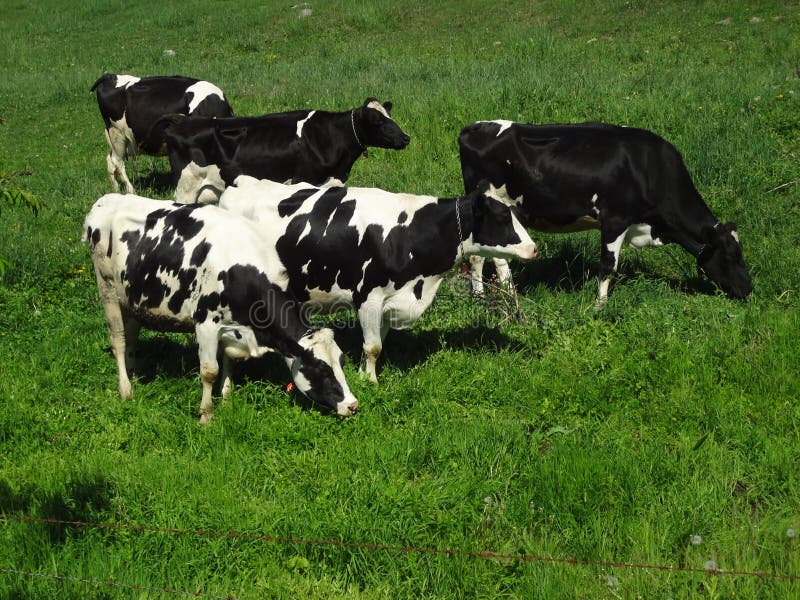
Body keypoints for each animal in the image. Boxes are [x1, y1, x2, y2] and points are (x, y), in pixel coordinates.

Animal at [83, 193, 358, 423]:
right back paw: (126, 390)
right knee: (118, 341)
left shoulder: (232, 327)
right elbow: (209, 371)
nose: (353, 405)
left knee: (130, 337)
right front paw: (206, 416)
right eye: (321, 370)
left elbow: (229, 362)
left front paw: (226, 400)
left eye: (341, 361)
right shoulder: (205, 324)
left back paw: (134, 375)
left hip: (131, 299)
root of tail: (106, 200)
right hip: (107, 289)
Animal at [90, 73, 234, 194]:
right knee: (117, 161)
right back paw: (131, 191)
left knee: (110, 160)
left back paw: (116, 190)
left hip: (123, 140)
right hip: (117, 133)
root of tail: (111, 76)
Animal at [158, 98, 411, 204]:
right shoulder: (305, 181)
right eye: (378, 121)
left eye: (389, 115)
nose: (406, 138)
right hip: (186, 187)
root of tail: (181, 120)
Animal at [219, 176, 538, 383]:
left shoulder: (389, 300)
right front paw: (372, 383)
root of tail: (240, 183)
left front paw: (363, 374)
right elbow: (373, 347)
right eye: (502, 217)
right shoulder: (368, 297)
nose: (534, 248)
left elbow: (375, 343)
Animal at [458, 120, 753, 307]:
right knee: (486, 257)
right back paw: (497, 298)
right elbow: (608, 266)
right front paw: (600, 306)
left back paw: (491, 297)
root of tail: (473, 127)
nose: (749, 289)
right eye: (732, 255)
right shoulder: (615, 220)